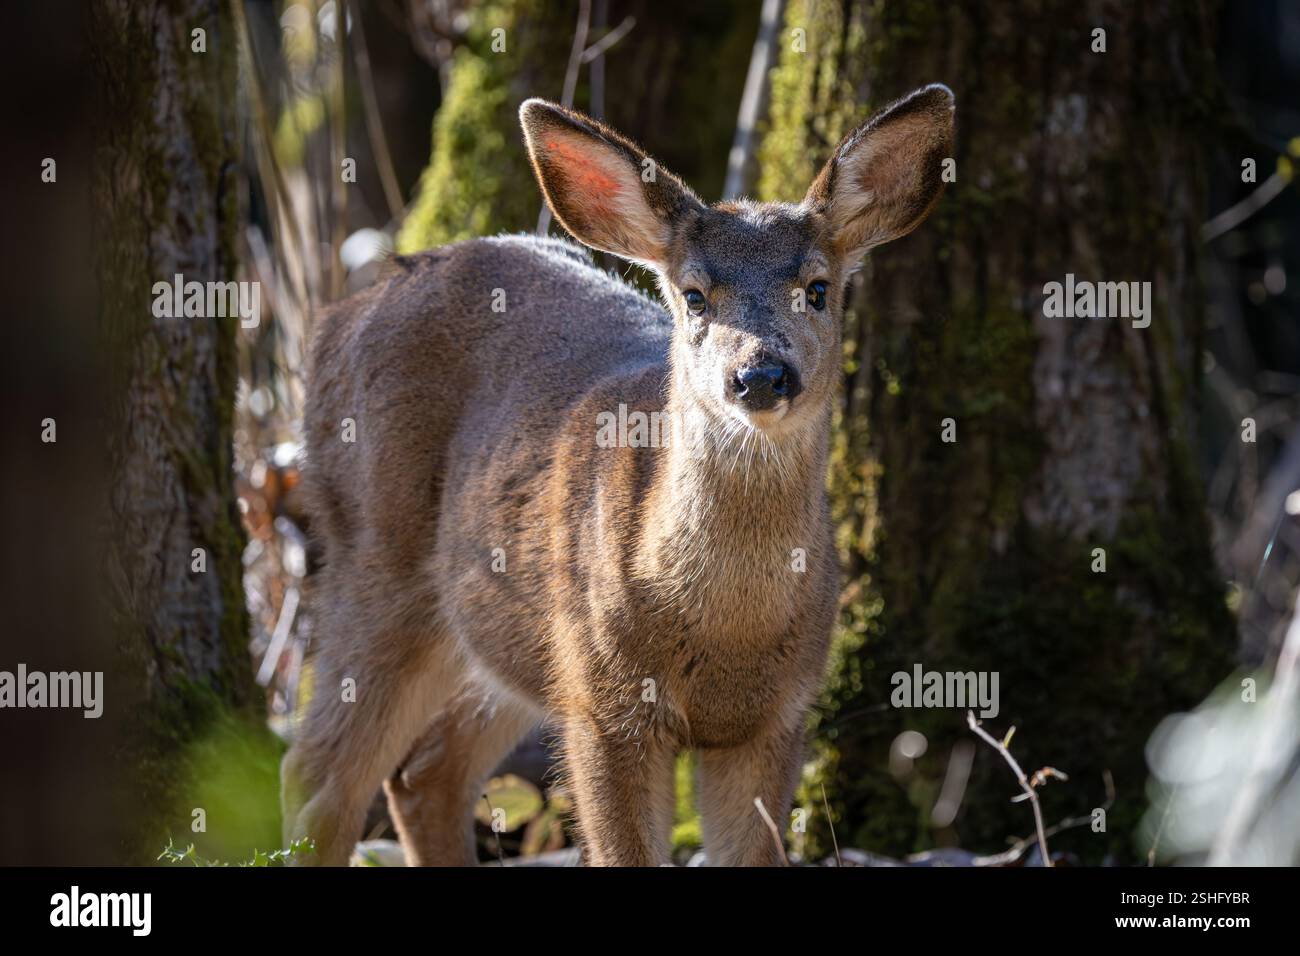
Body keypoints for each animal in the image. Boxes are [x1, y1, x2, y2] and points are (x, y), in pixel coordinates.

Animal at [281, 84, 954, 866]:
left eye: (817, 289)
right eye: (694, 295)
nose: (760, 375)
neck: (726, 631)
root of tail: (336, 319)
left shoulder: (776, 717)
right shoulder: (603, 703)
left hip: (506, 633)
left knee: (424, 774)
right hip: (373, 559)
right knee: (317, 777)